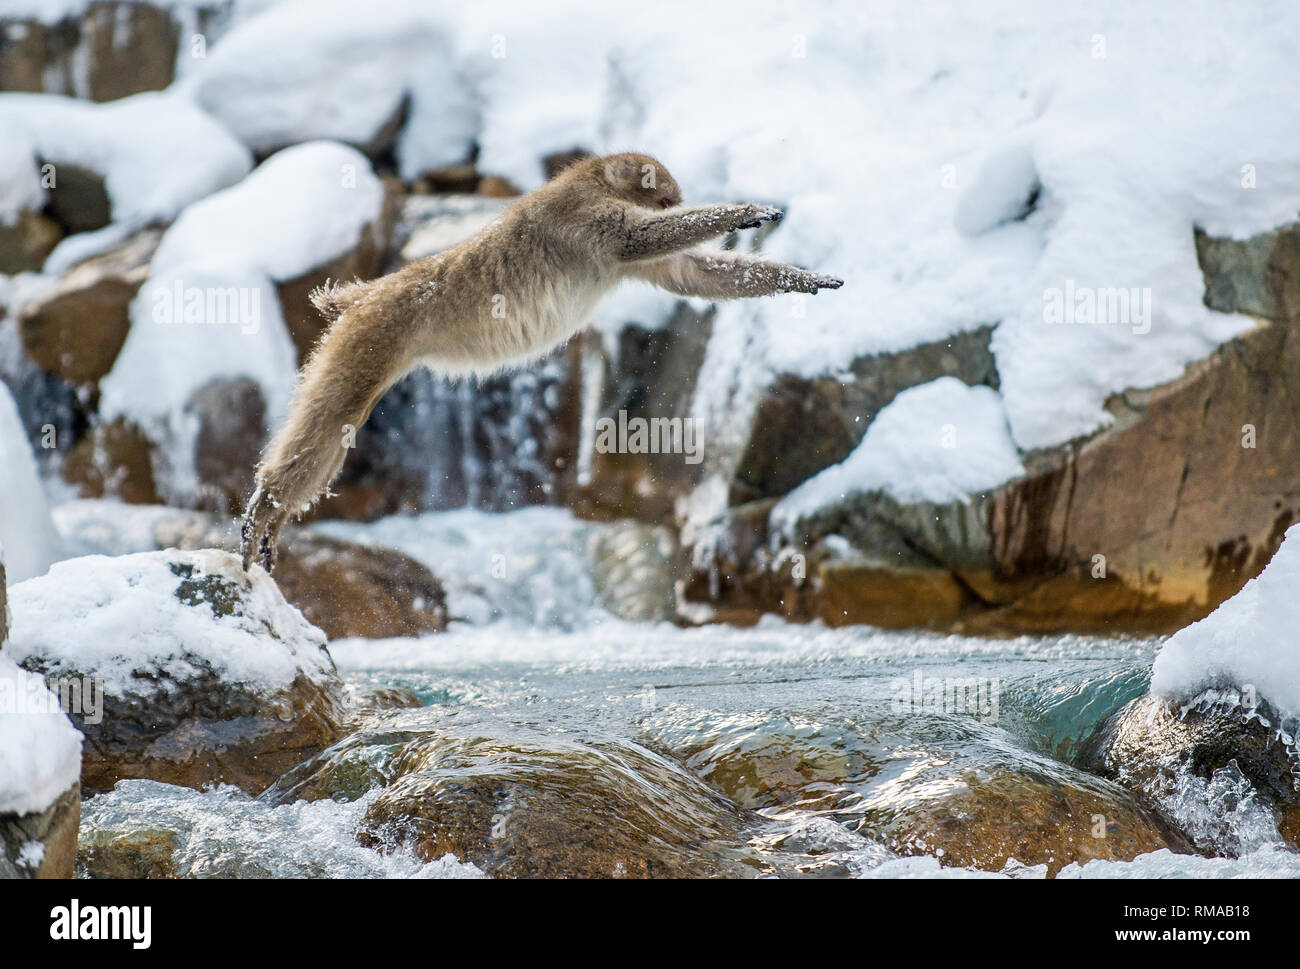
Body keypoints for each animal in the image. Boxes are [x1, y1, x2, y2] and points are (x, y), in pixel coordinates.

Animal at [240, 152, 843, 571]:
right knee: (330, 421)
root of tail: (375, 290)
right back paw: (265, 506)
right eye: (668, 201)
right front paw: (745, 212)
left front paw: (802, 278)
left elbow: (693, 272)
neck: (594, 179)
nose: (676, 203)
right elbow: (638, 237)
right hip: (372, 338)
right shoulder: (584, 216)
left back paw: (271, 515)